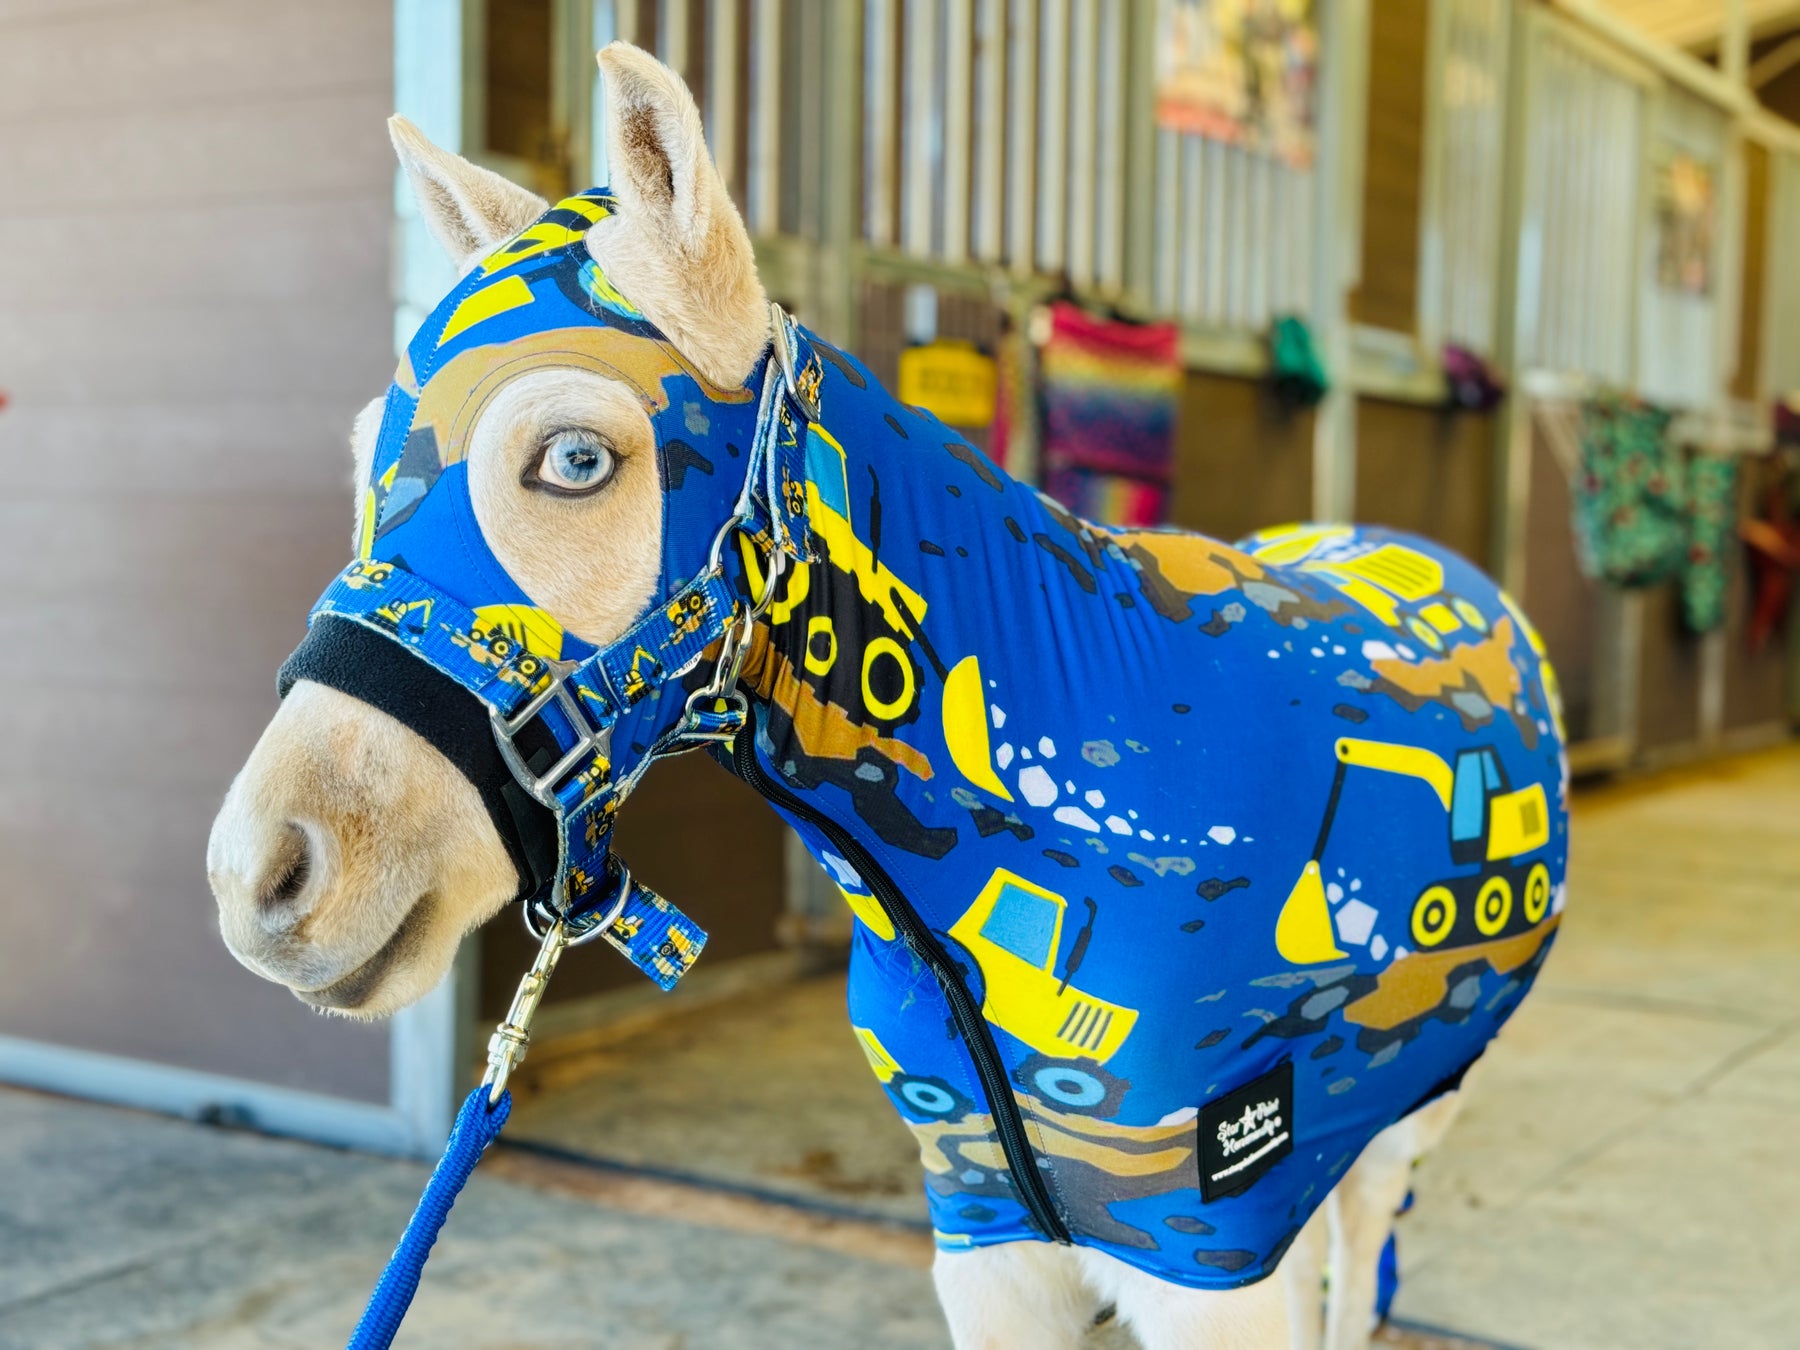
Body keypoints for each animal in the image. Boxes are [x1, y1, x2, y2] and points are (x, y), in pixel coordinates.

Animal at [207, 42, 1567, 1349]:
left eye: (577, 457)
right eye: (364, 468)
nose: (260, 877)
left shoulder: (1215, 1258)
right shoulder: (991, 1246)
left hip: (1394, 1132)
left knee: (1363, 1264)